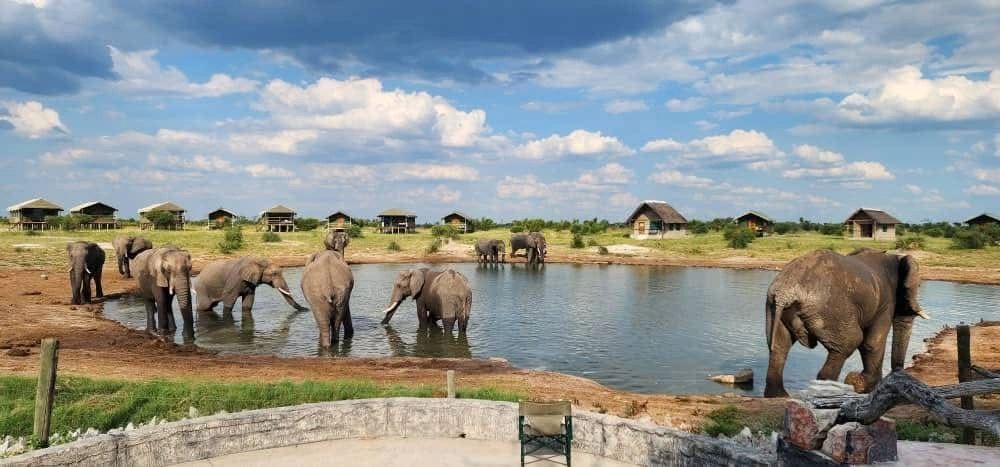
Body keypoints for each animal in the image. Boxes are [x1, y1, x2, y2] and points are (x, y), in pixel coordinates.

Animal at [764, 248, 929, 397]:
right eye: (918, 286)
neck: (895, 256)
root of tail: (785, 292)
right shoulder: (886, 303)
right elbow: (872, 342)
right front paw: (867, 388)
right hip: (830, 308)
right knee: (851, 341)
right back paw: (826, 391)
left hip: (775, 307)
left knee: (779, 346)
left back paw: (779, 396)